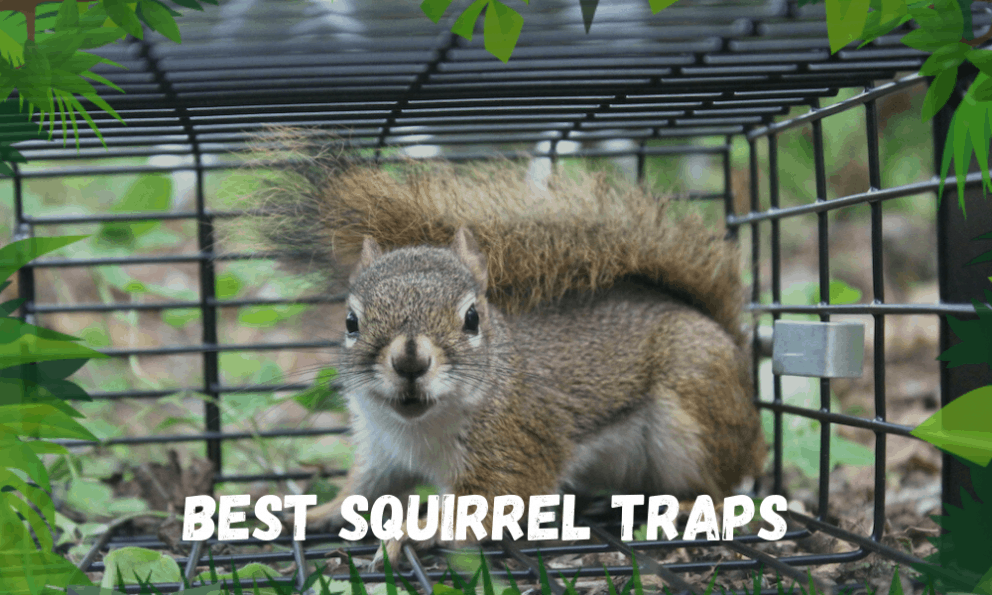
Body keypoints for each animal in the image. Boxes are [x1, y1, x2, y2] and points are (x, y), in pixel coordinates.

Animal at [239, 129, 766, 562]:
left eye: (473, 318)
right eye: (350, 321)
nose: (410, 360)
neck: (420, 429)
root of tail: (730, 343)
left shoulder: (517, 445)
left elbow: (493, 501)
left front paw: (417, 529)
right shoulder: (381, 449)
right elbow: (360, 492)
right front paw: (311, 510)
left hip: (696, 408)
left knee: (727, 486)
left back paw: (689, 503)